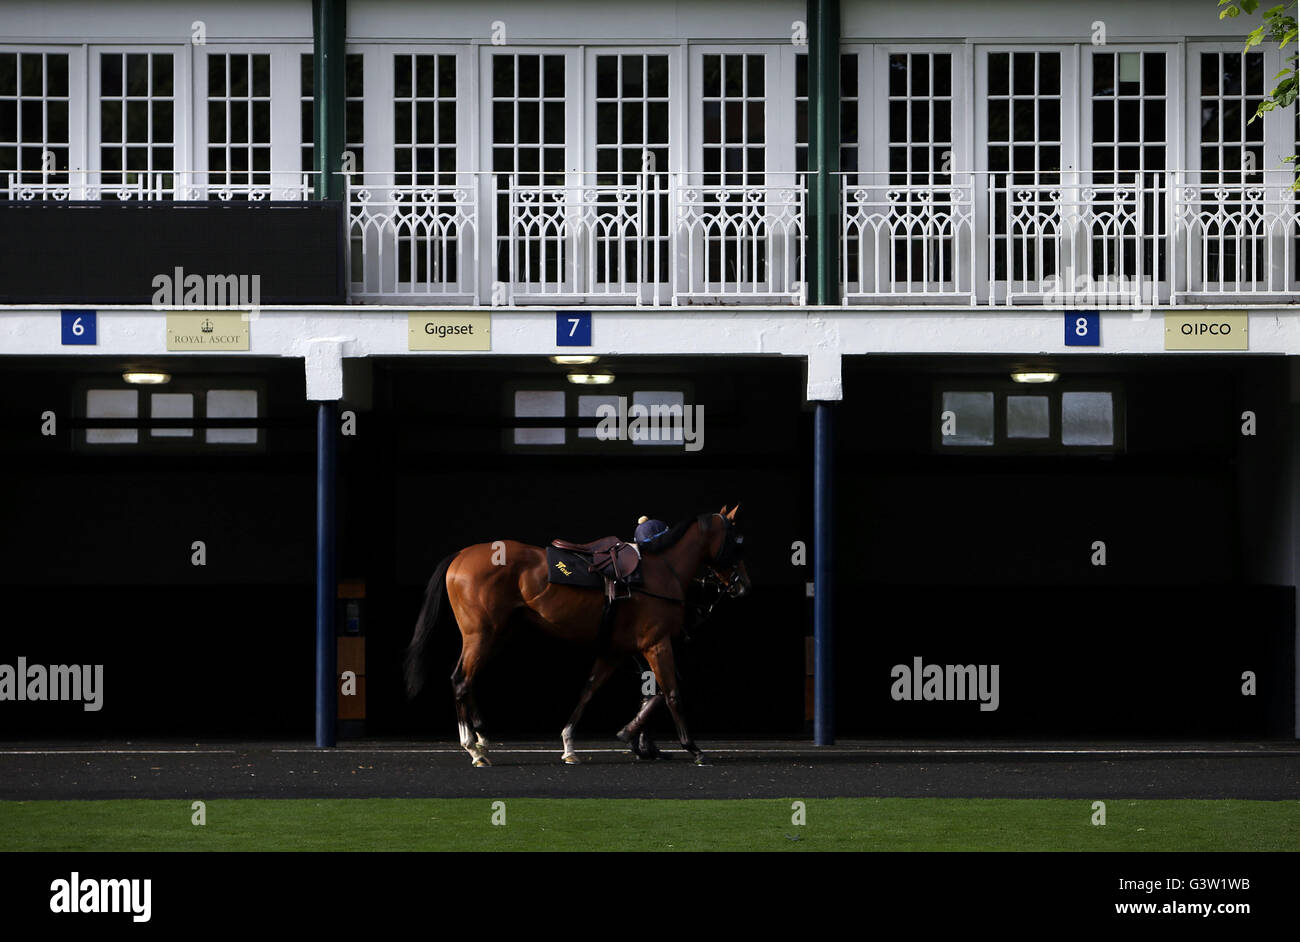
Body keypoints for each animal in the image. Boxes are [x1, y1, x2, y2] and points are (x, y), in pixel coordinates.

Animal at [403, 506, 750, 766]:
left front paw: (574, 743)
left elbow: (591, 692)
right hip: (481, 635)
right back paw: (472, 747)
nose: (743, 585)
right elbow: (672, 692)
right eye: (737, 542)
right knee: (460, 680)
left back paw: (481, 737)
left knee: (468, 679)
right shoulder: (657, 644)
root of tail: (461, 555)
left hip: (494, 634)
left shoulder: (616, 650)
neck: (659, 570)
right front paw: (692, 747)